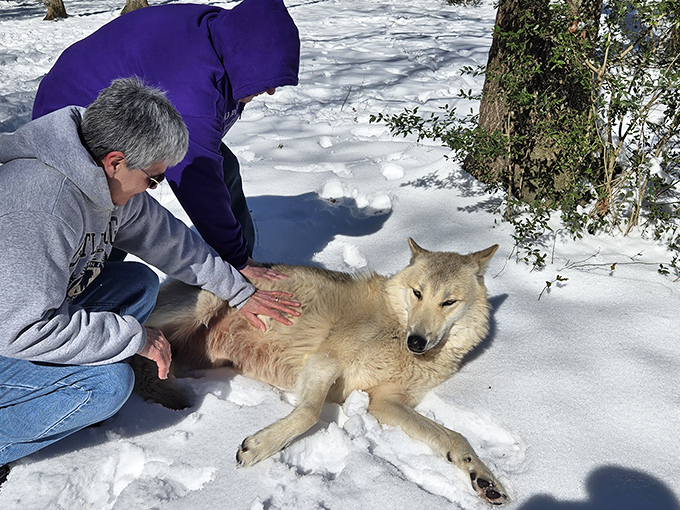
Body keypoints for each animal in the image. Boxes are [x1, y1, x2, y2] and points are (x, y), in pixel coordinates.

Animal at [136, 239, 508, 505]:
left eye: (448, 302)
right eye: (418, 293)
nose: (416, 341)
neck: (397, 331)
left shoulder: (385, 402)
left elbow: (453, 437)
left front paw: (483, 479)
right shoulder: (325, 360)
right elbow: (309, 413)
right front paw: (259, 447)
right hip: (197, 308)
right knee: (140, 336)